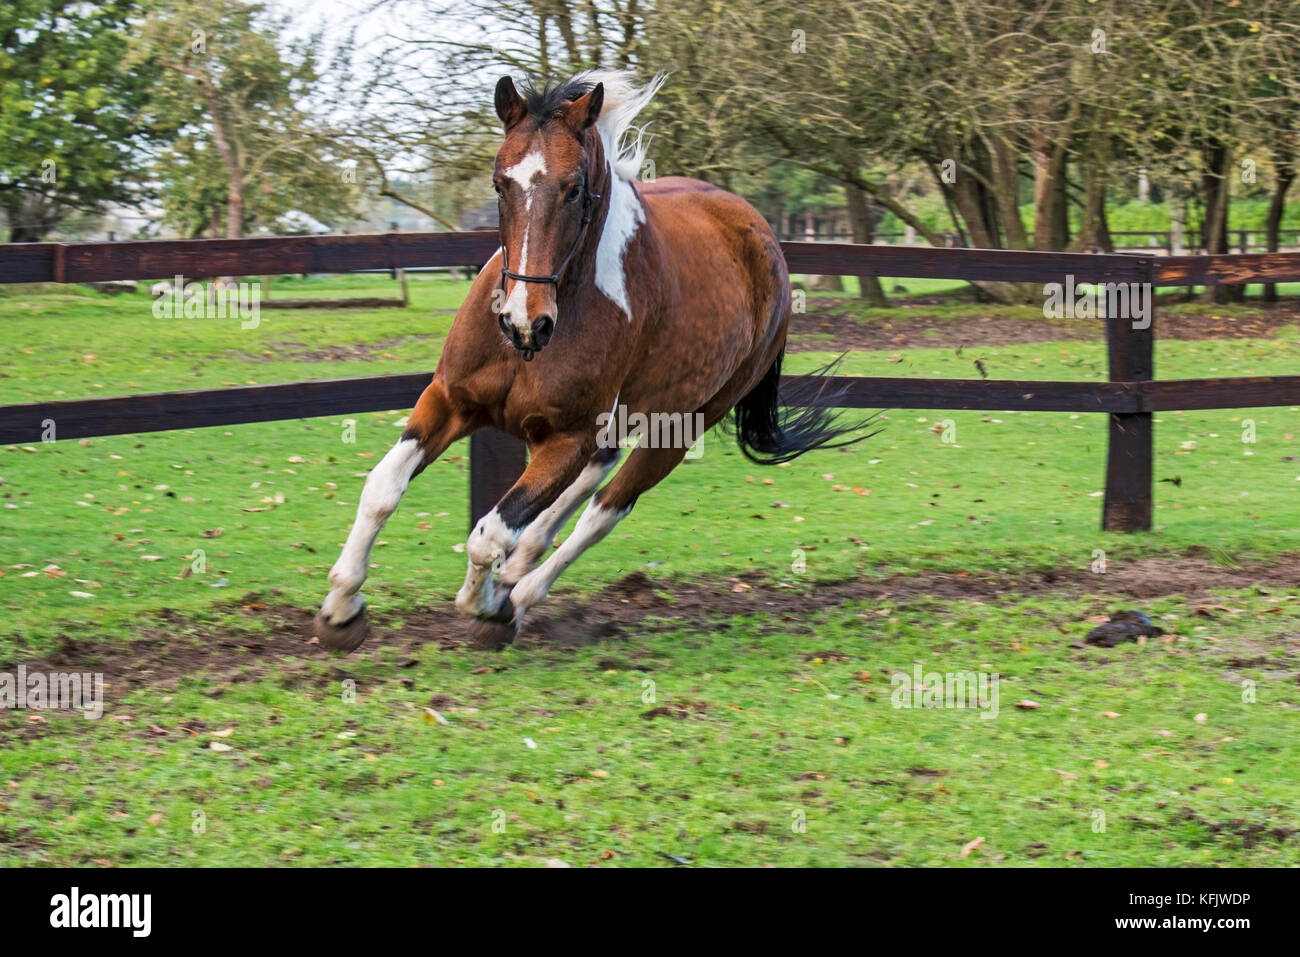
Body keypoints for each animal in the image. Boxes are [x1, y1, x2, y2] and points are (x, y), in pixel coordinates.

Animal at [313, 70, 866, 652]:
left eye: (574, 188)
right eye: (500, 183)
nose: (524, 321)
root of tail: (764, 240)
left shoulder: (567, 439)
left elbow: (490, 533)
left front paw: (484, 605)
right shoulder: (450, 400)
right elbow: (383, 489)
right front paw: (341, 611)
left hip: (680, 427)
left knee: (602, 512)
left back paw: (515, 597)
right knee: (591, 479)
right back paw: (516, 570)